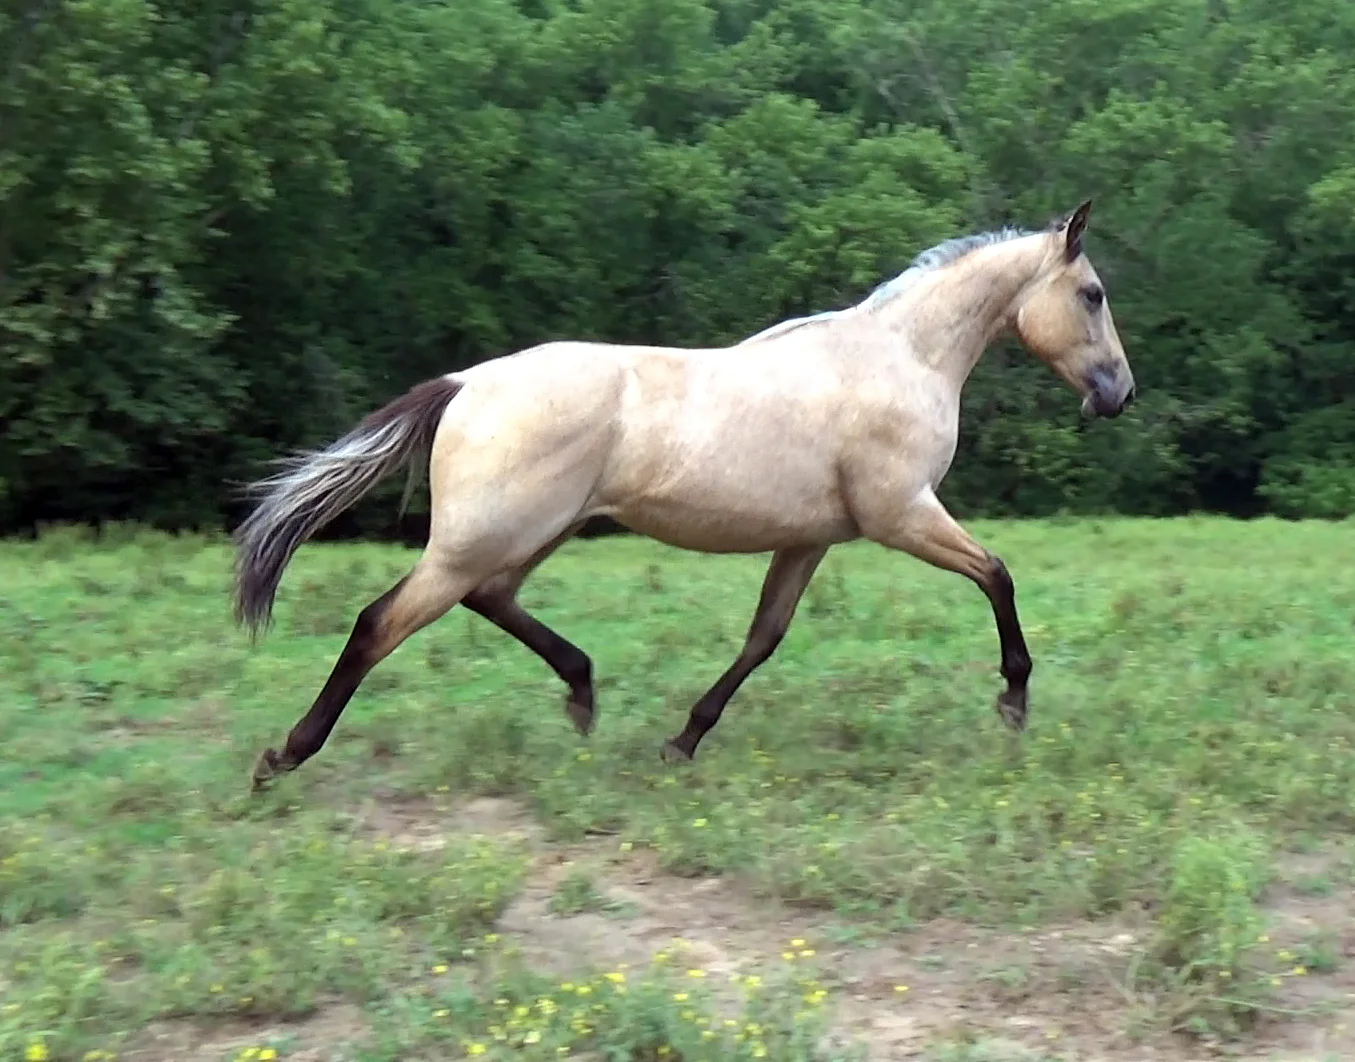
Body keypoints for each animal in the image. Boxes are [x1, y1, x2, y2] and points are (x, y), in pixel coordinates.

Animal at [233, 199, 1135, 791]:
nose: (1118, 395)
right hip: (479, 540)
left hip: (529, 533)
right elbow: (997, 575)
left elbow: (762, 638)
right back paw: (283, 756)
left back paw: (582, 694)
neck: (903, 357)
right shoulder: (900, 514)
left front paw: (682, 740)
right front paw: (1013, 700)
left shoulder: (808, 538)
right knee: (379, 623)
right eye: (1092, 294)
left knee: (491, 600)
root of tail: (465, 383)